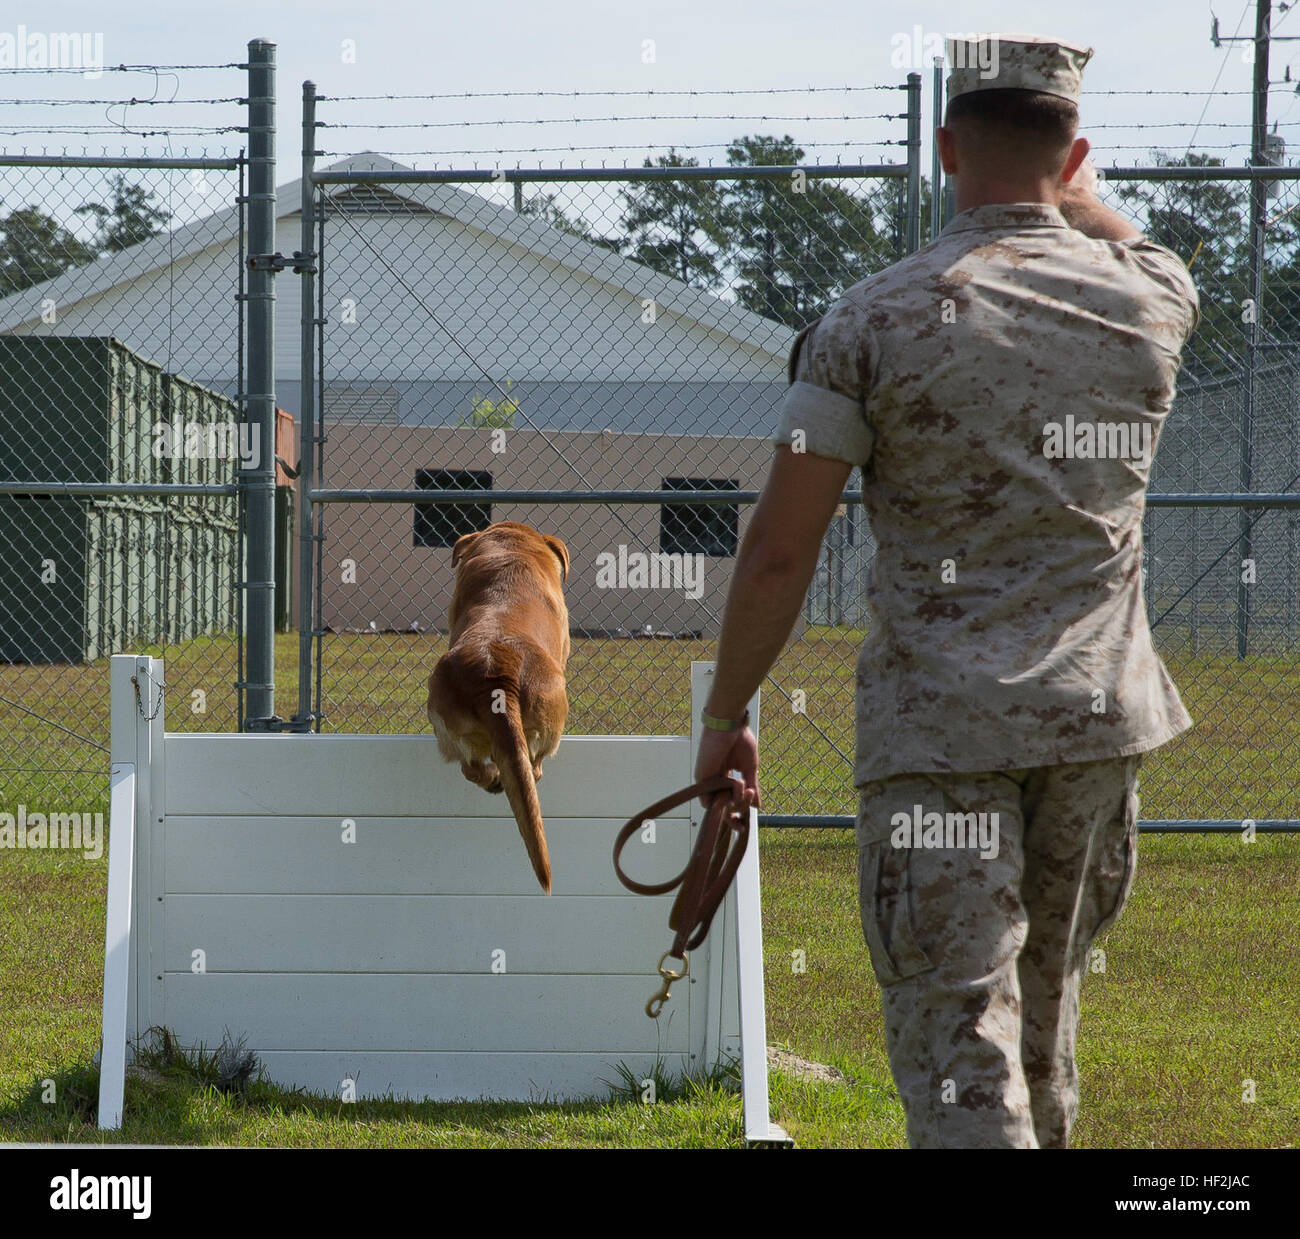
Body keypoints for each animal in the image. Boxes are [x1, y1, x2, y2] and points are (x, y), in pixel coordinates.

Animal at [426, 520, 569, 889]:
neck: (512, 546)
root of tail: (496, 679)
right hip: (553, 711)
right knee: (531, 766)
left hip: (446, 716)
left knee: (472, 767)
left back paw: (492, 779)